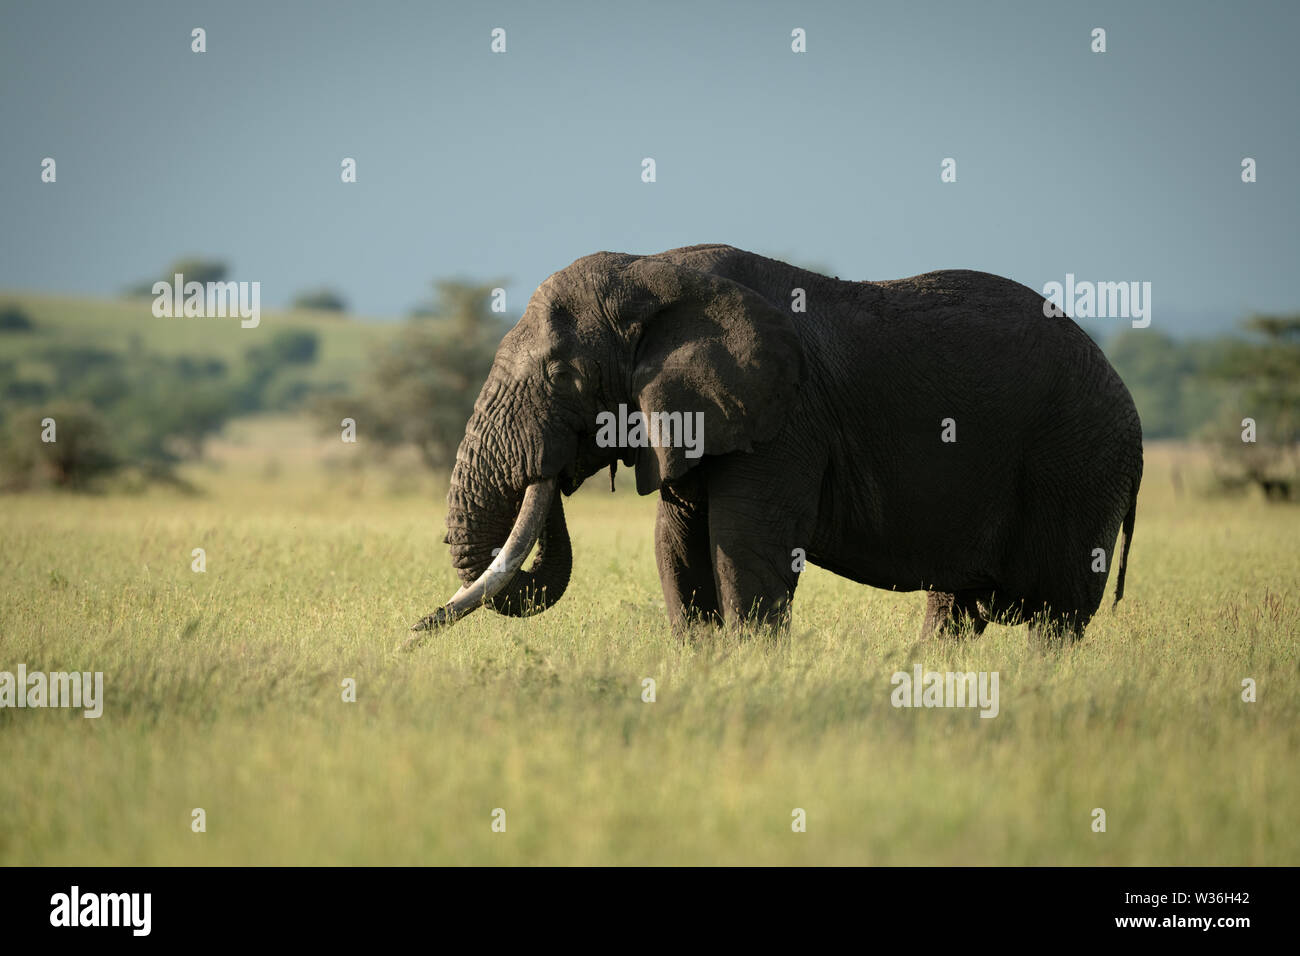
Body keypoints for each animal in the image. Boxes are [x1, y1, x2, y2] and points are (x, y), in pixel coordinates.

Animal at [412, 244, 1143, 642]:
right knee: (955, 609)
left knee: (1058, 617)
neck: (656, 272)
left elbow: (746, 547)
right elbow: (677, 546)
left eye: (564, 376)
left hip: (1082, 465)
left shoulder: (786, 420)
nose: (409, 631)